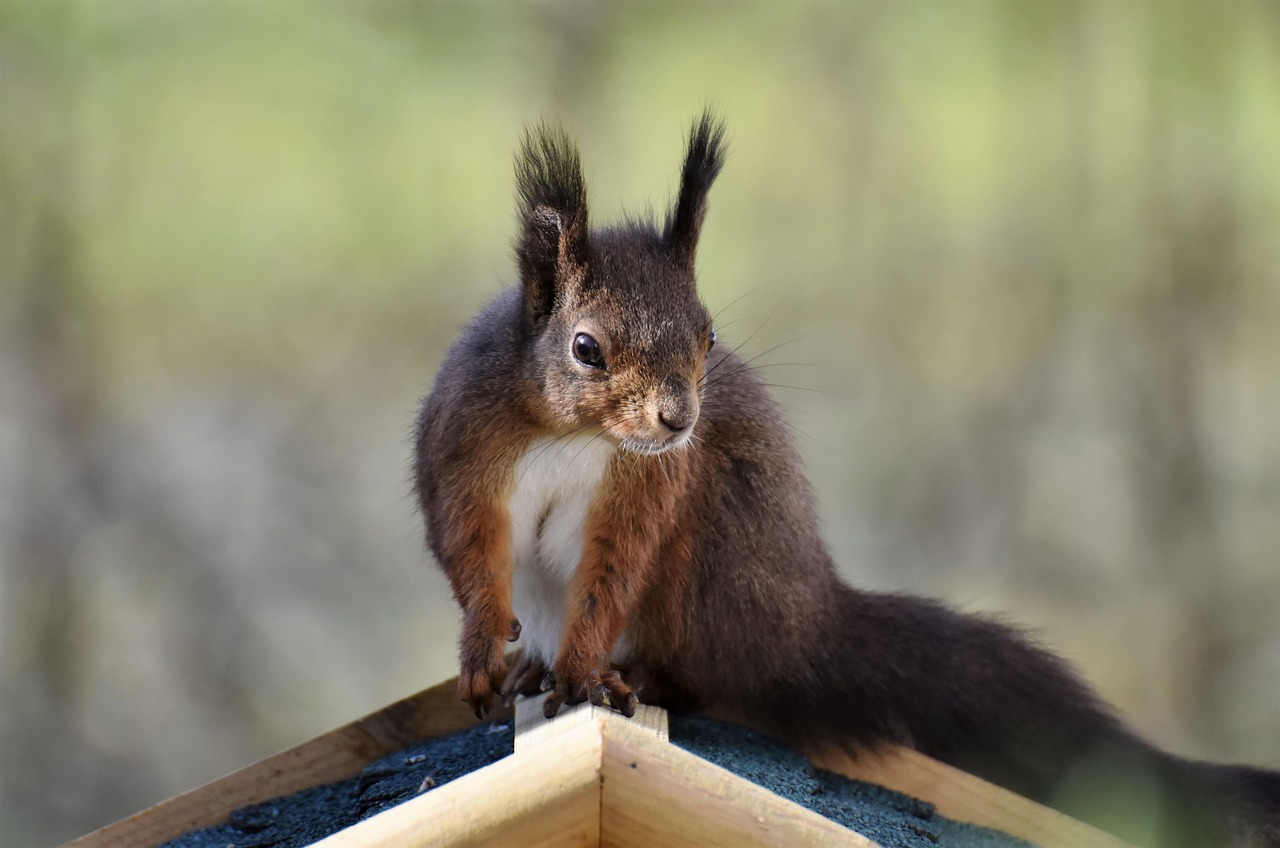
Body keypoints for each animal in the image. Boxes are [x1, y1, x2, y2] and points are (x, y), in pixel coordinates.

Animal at [414, 111, 1279, 847]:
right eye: (586, 348)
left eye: (708, 334)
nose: (679, 419)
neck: (575, 436)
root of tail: (806, 620)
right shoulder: (465, 450)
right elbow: (469, 548)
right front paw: (483, 647)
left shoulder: (649, 486)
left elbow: (612, 569)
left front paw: (585, 671)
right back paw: (535, 664)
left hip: (711, 565)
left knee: (697, 670)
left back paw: (628, 676)